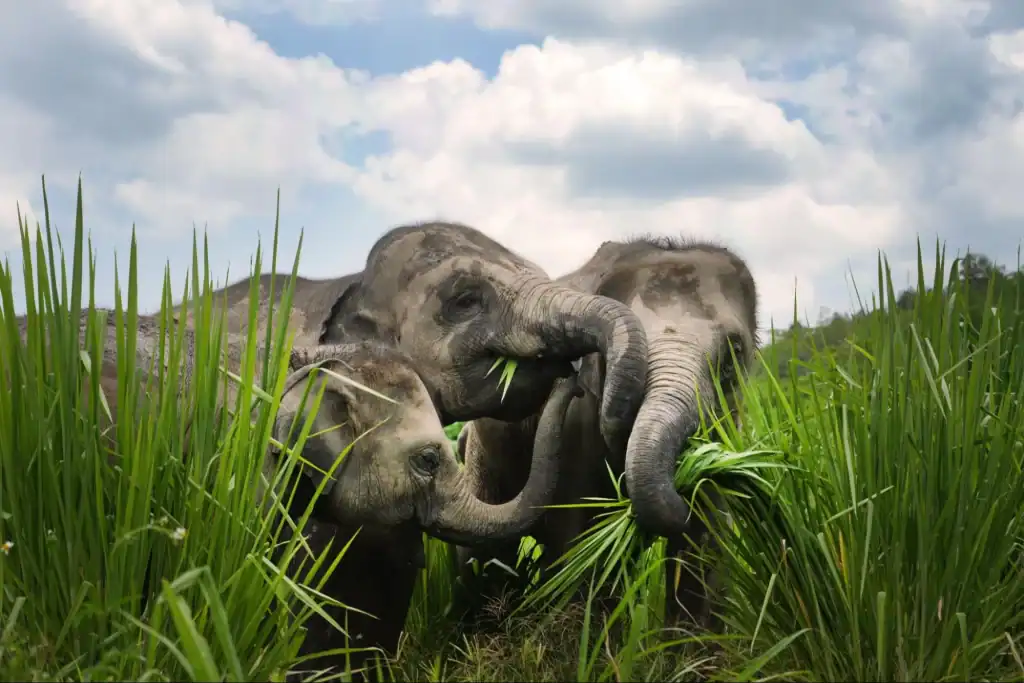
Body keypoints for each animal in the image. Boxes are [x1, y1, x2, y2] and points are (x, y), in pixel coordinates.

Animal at [456, 235, 758, 632]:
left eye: (733, 352)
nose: (565, 379)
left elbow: (705, 542)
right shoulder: (575, 432)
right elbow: (579, 541)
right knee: (482, 552)